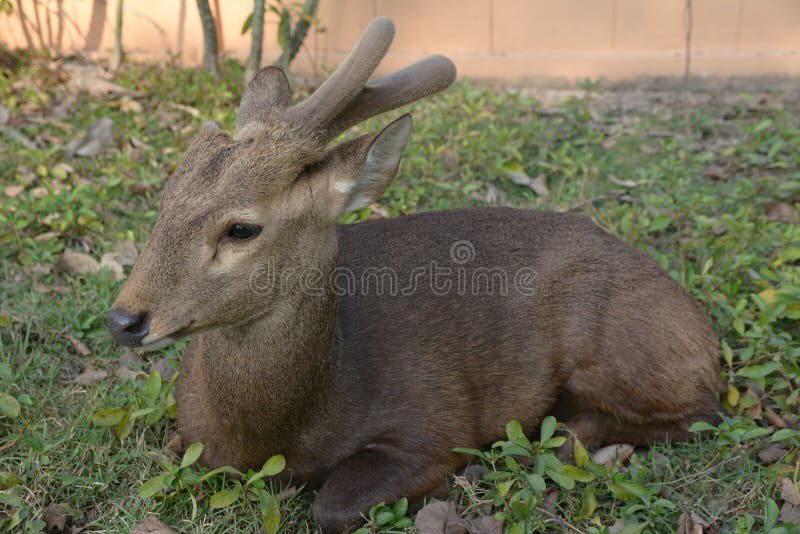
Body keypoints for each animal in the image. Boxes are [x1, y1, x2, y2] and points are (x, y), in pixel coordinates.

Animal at [107, 17, 723, 533]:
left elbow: (334, 507)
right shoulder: (194, 438)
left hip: (619, 349)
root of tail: (701, 328)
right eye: (166, 196)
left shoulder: (431, 426)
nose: (124, 320)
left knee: (696, 413)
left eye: (241, 228)